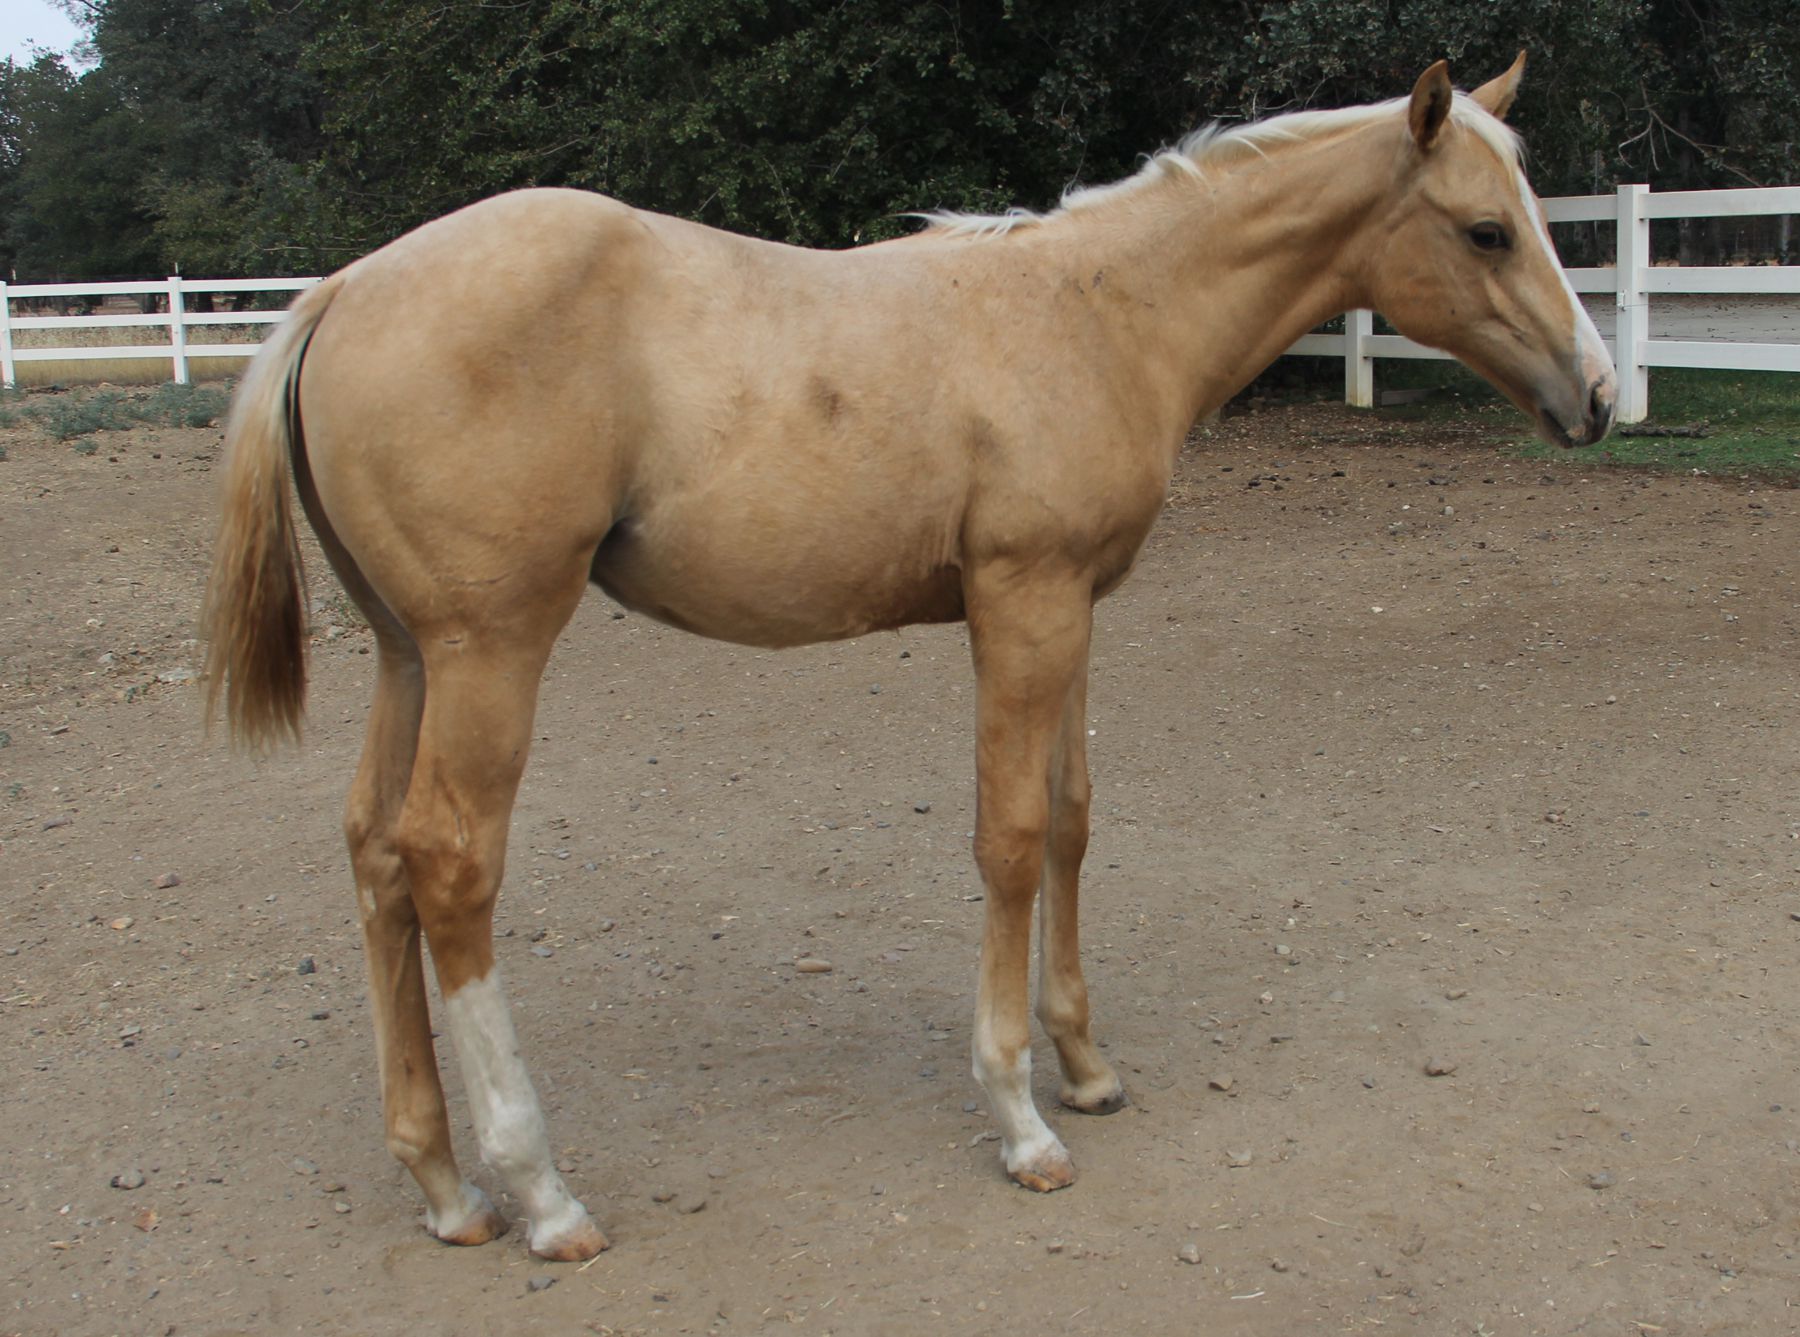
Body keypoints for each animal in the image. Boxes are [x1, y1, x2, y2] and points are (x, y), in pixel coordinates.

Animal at [201, 55, 1614, 1261]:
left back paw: (444, 1184)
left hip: (409, 654)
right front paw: (1022, 1116)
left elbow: (1071, 818)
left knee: (376, 851)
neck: (1101, 313)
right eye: (1487, 231)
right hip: (489, 650)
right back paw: (540, 1192)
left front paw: (1086, 1067)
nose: (1600, 394)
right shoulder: (1022, 601)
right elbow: (1009, 839)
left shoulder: (1077, 606)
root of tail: (340, 289)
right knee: (449, 862)